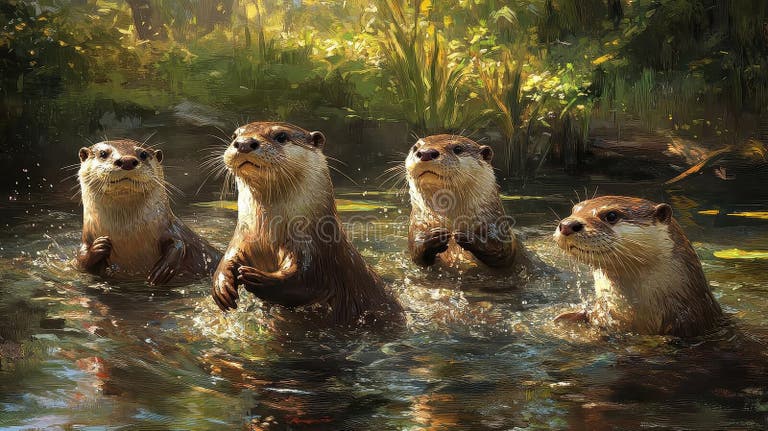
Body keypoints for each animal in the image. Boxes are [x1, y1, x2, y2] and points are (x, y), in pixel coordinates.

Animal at [76, 139, 221, 284]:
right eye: (103, 153)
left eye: (143, 154)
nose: (127, 161)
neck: (127, 233)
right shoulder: (86, 240)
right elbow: (80, 261)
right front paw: (99, 246)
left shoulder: (169, 229)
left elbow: (179, 243)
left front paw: (164, 268)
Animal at [210, 122, 402, 326]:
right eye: (234, 135)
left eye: (281, 136)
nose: (244, 143)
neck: (268, 233)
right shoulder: (242, 238)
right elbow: (228, 257)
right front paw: (221, 284)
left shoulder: (317, 254)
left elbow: (305, 282)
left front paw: (257, 278)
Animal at [405, 135, 522, 269]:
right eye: (415, 148)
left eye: (458, 149)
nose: (426, 153)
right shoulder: (418, 224)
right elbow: (416, 255)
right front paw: (433, 237)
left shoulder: (496, 225)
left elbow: (503, 252)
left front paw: (468, 237)